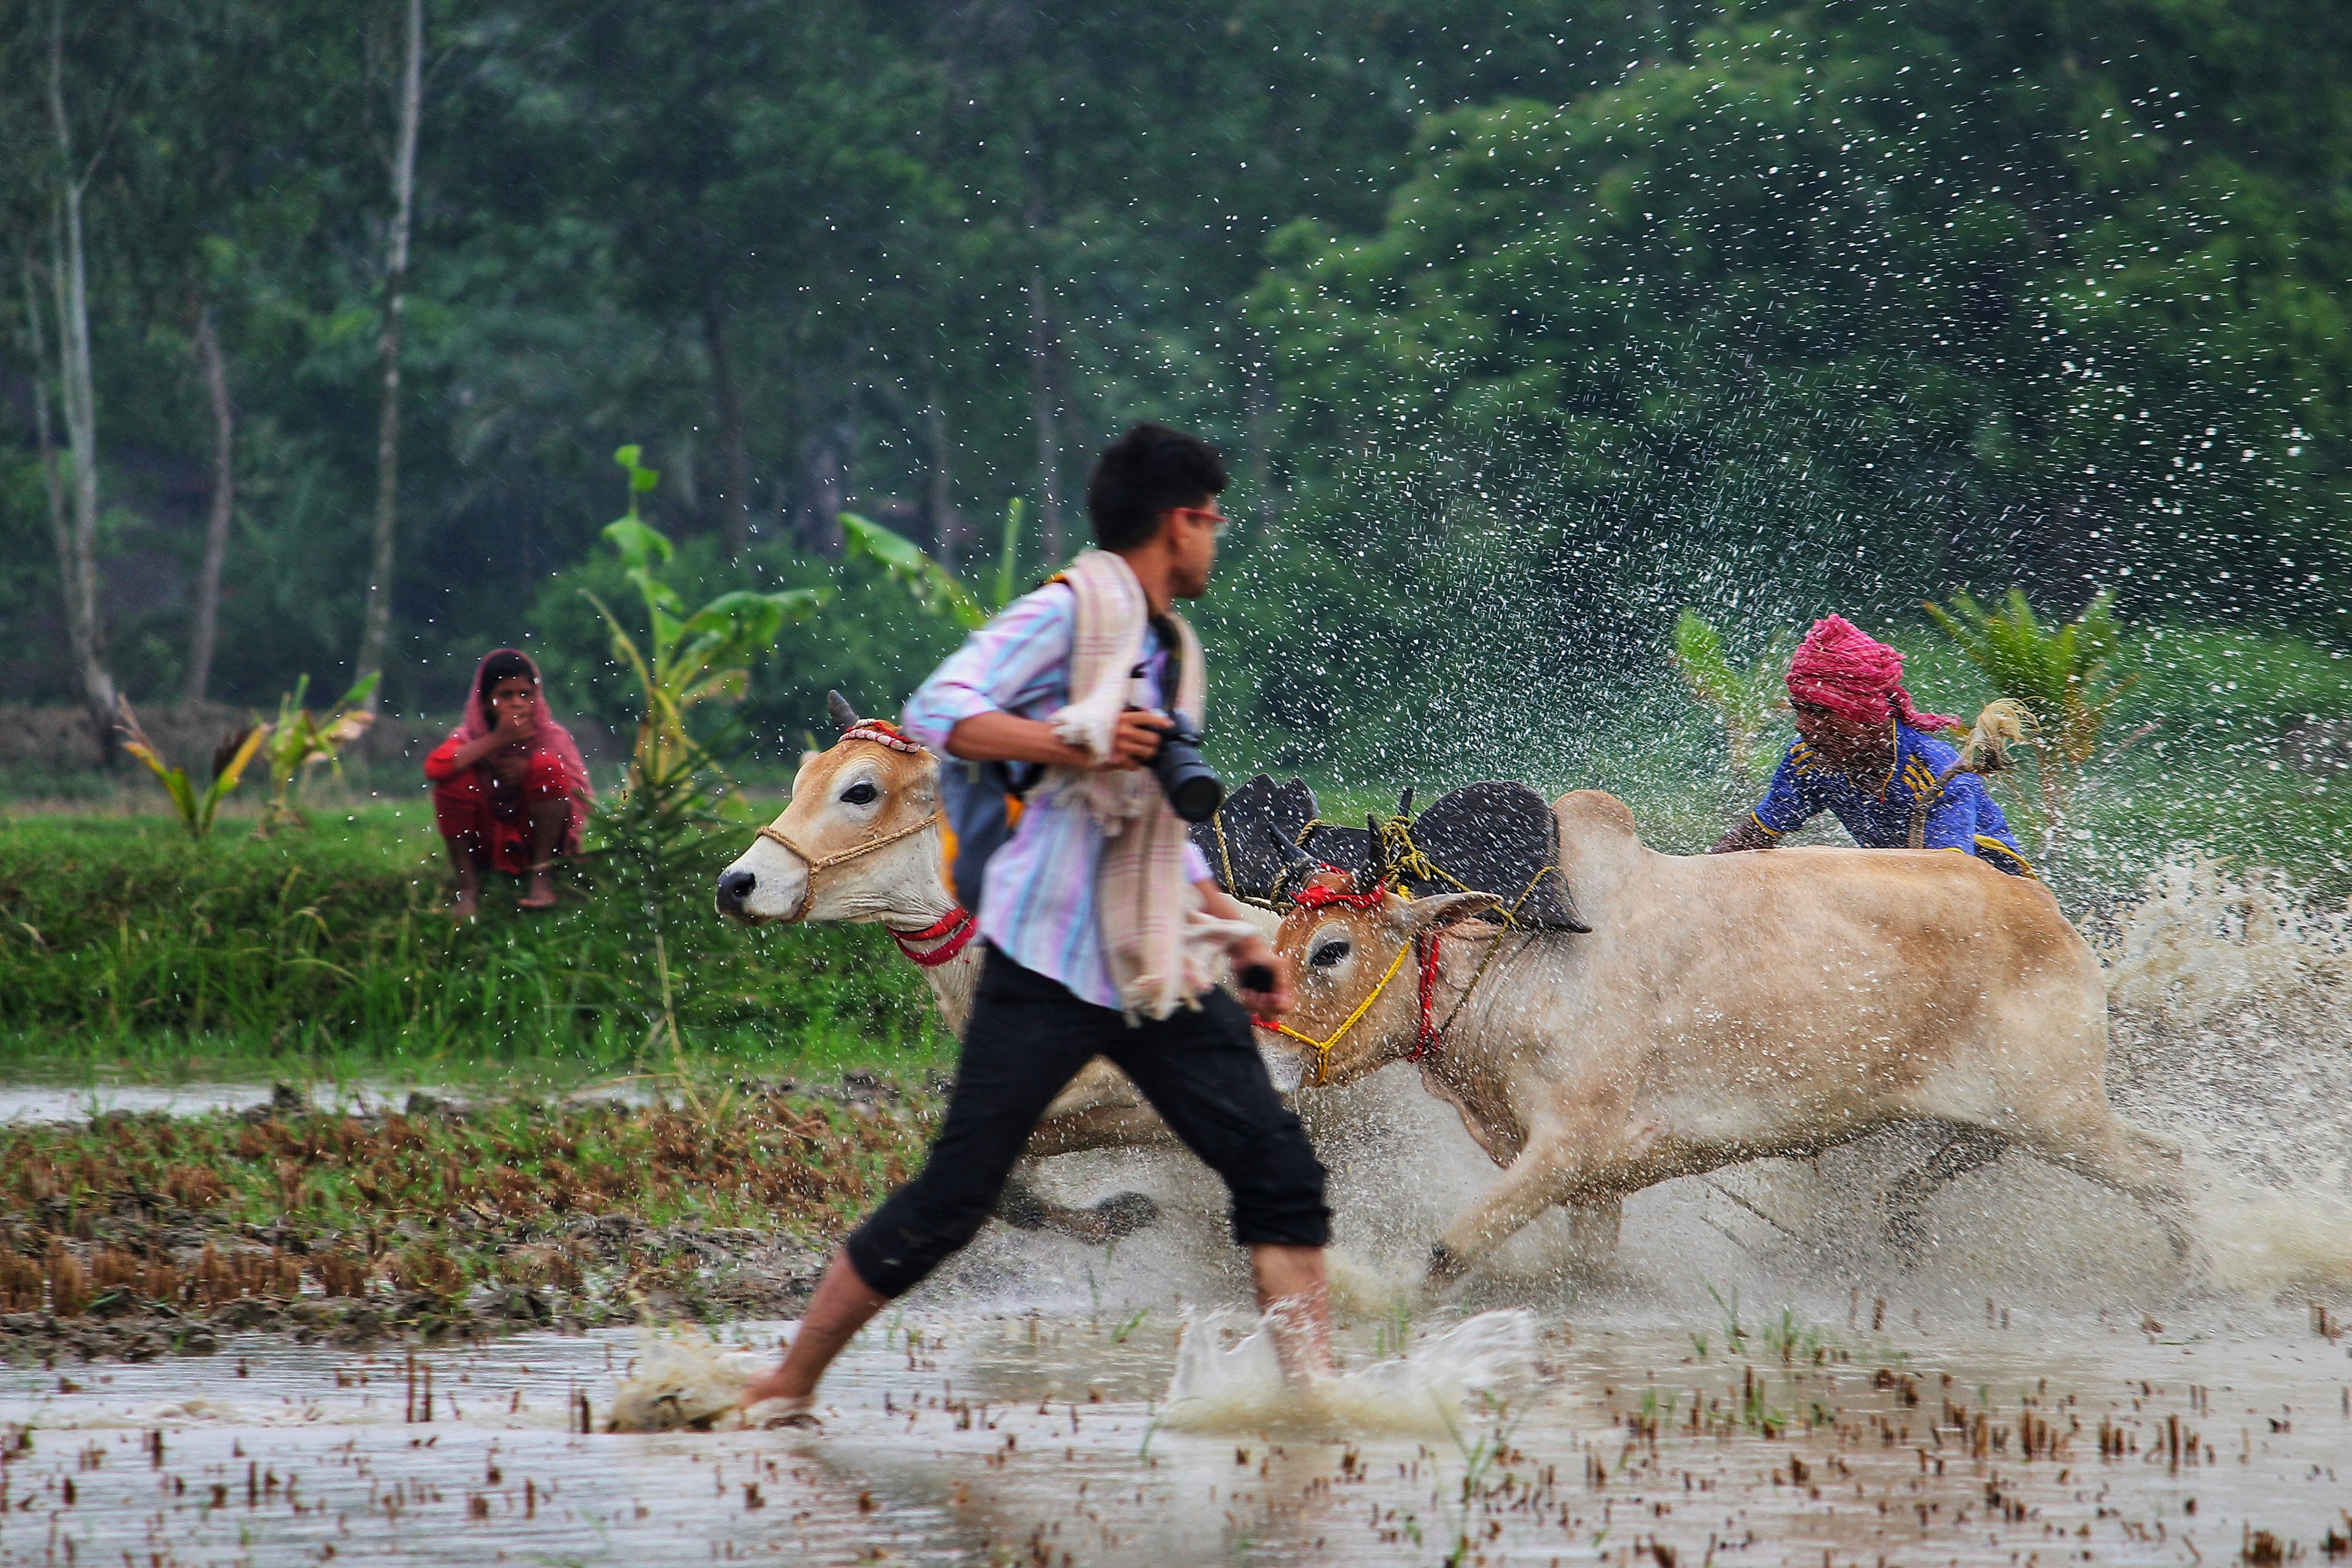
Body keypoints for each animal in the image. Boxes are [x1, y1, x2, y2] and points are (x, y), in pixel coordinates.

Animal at [1261, 789, 2194, 1295]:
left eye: (1330, 948)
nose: (1264, 1056)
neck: (1514, 963)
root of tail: (2046, 911)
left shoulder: (1569, 1145)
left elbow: (1446, 1249)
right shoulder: (1586, 1182)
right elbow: (1584, 1265)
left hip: (2057, 1113)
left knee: (2168, 1170)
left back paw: (2195, 1278)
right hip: (2008, 1119)